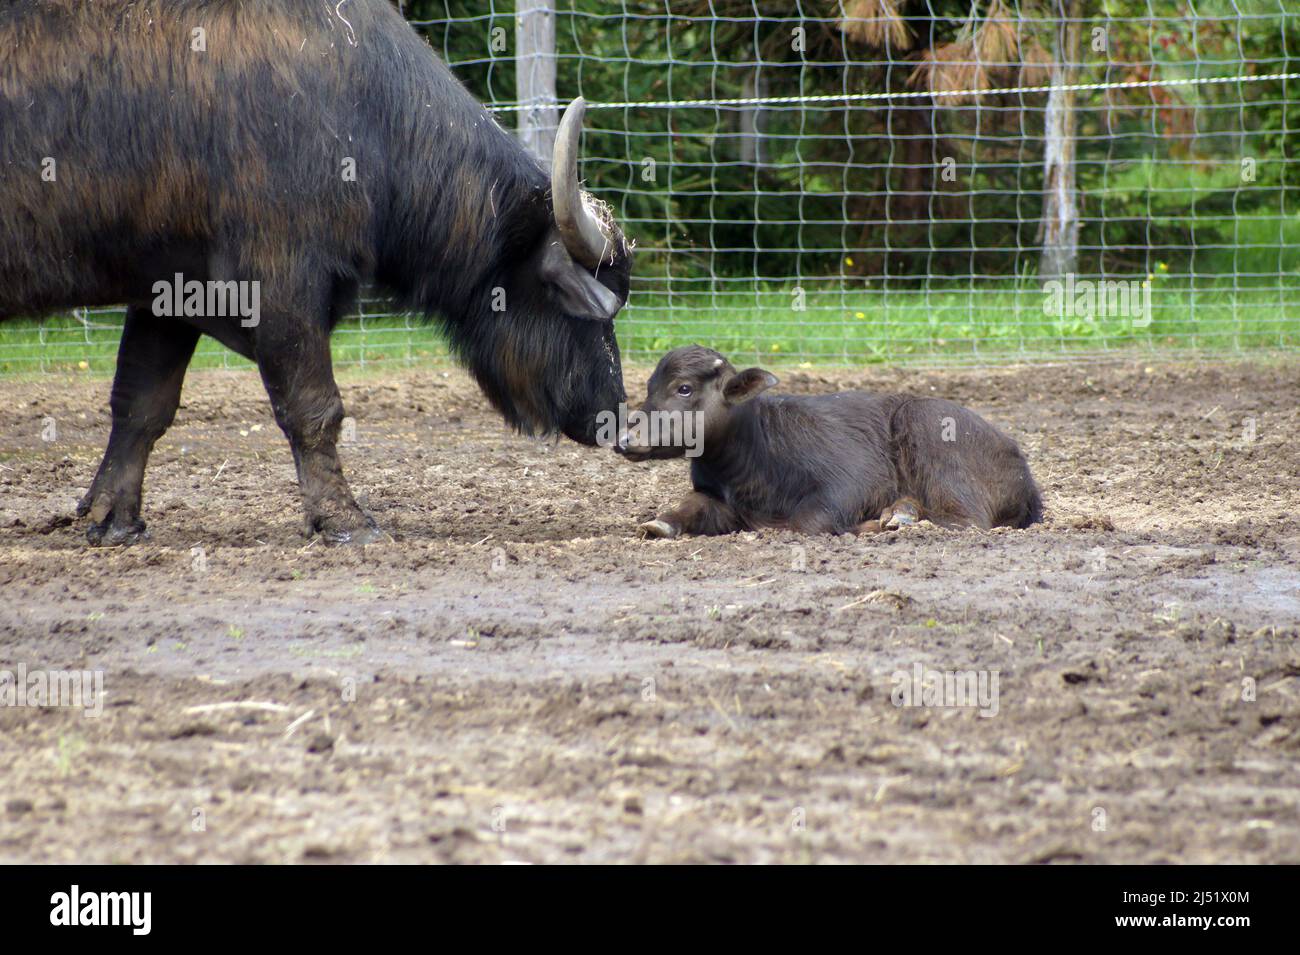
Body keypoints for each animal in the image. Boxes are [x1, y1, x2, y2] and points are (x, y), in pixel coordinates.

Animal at [0, 0, 630, 544]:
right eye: (590, 307)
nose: (618, 418)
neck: (362, 105)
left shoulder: (169, 293)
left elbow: (141, 404)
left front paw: (113, 518)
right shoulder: (282, 279)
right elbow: (315, 406)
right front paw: (345, 519)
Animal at [615, 346, 1042, 537]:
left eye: (684, 388)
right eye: (649, 388)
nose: (623, 437)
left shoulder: (855, 482)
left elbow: (808, 521)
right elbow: (692, 506)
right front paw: (660, 523)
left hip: (928, 427)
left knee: (965, 519)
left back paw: (894, 516)